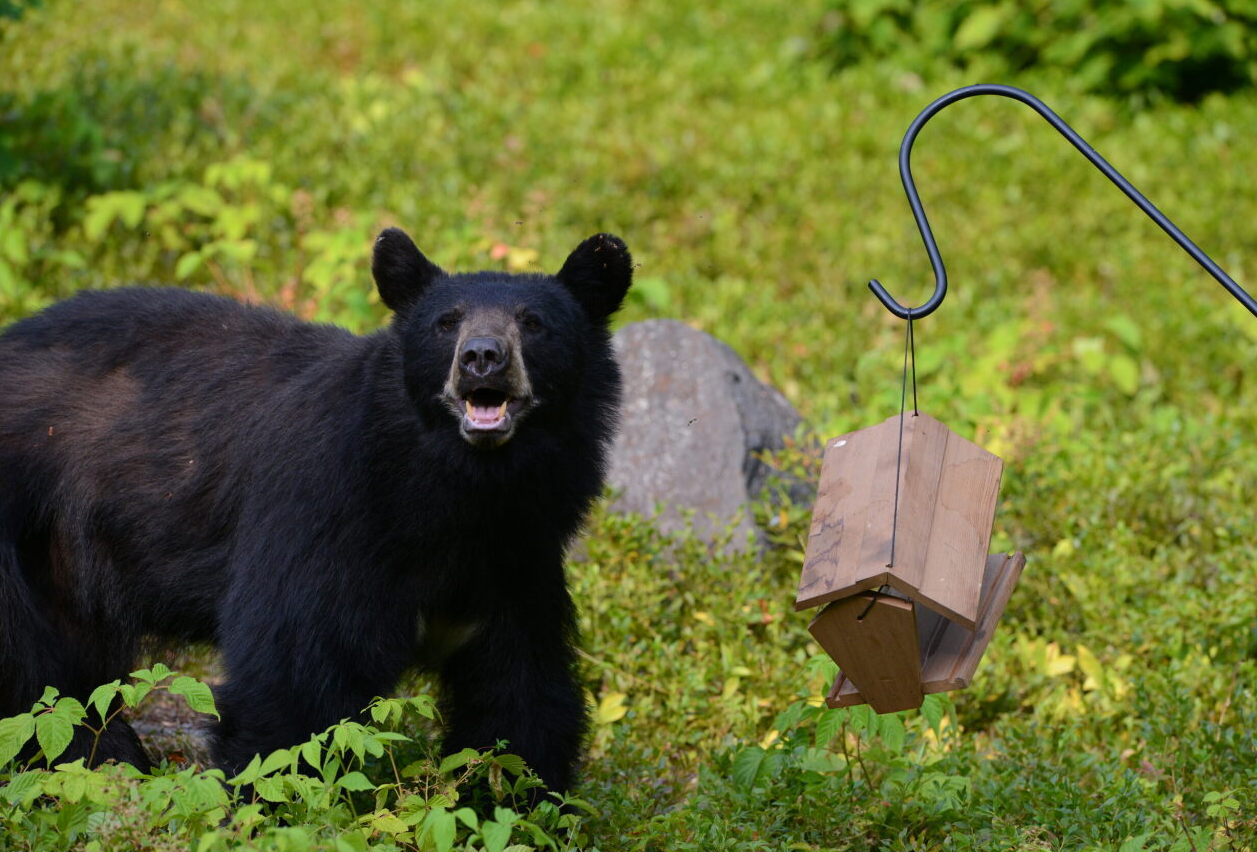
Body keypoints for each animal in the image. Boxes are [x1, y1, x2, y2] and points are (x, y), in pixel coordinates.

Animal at [0, 228, 633, 794]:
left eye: (534, 322)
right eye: (446, 322)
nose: (482, 358)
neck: (460, 490)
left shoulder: (517, 556)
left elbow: (518, 692)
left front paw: (523, 802)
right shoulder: (324, 507)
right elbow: (293, 671)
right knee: (32, 677)